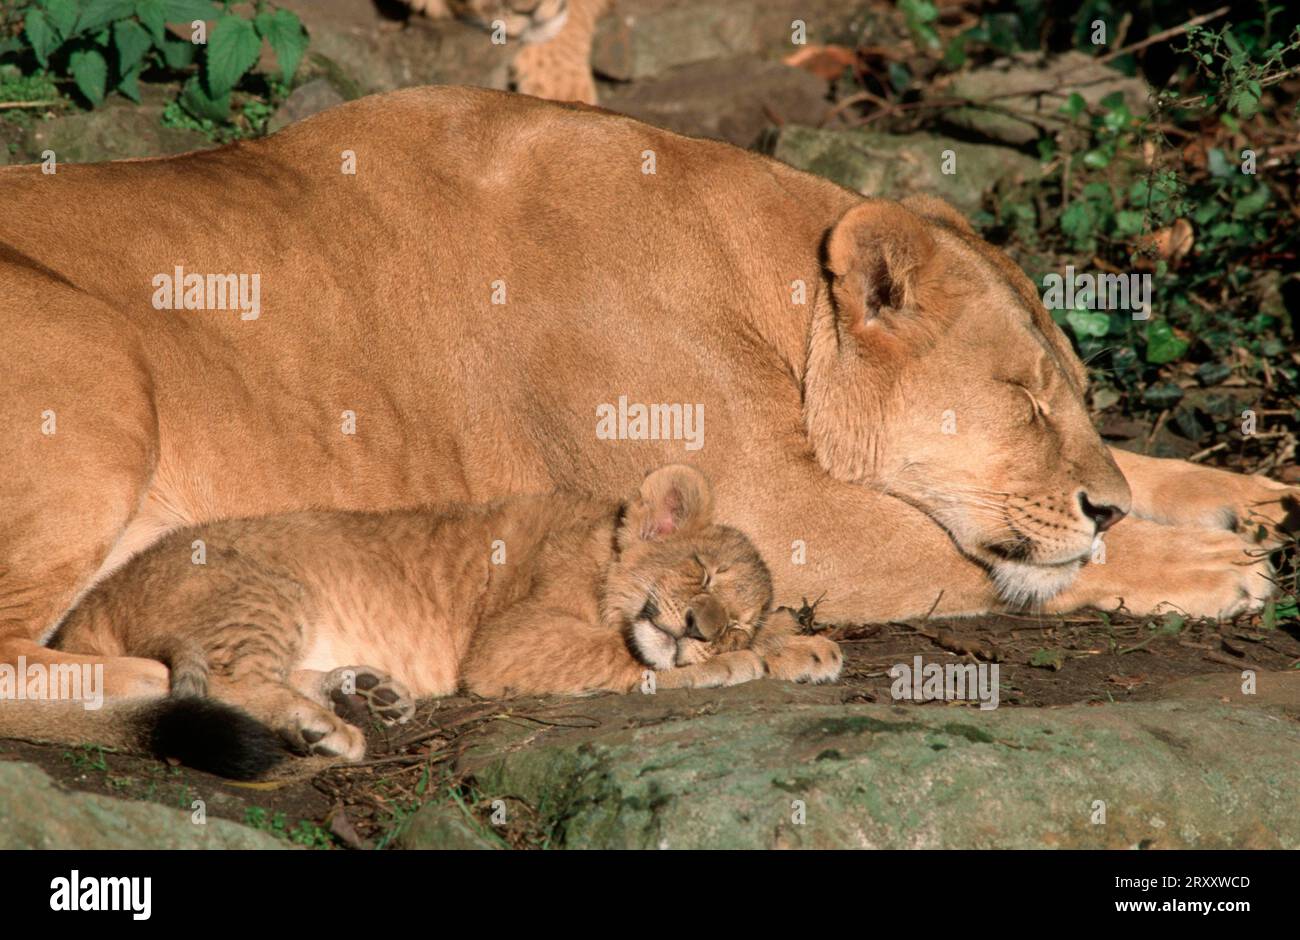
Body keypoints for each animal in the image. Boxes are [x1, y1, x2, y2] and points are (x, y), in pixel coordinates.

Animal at [0, 86, 1295, 701]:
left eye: (1072, 392)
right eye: (1021, 397)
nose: (1101, 504)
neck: (772, 290)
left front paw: (1251, 498)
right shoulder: (768, 507)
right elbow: (990, 560)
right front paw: (1209, 562)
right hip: (95, 363)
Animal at [0, 465, 839, 777]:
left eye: (733, 617)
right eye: (699, 572)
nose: (702, 630)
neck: (602, 545)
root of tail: (93, 606)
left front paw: (798, 647)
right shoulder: (509, 645)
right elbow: (623, 657)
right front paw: (741, 664)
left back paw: (365, 690)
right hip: (267, 585)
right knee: (217, 679)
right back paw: (324, 728)